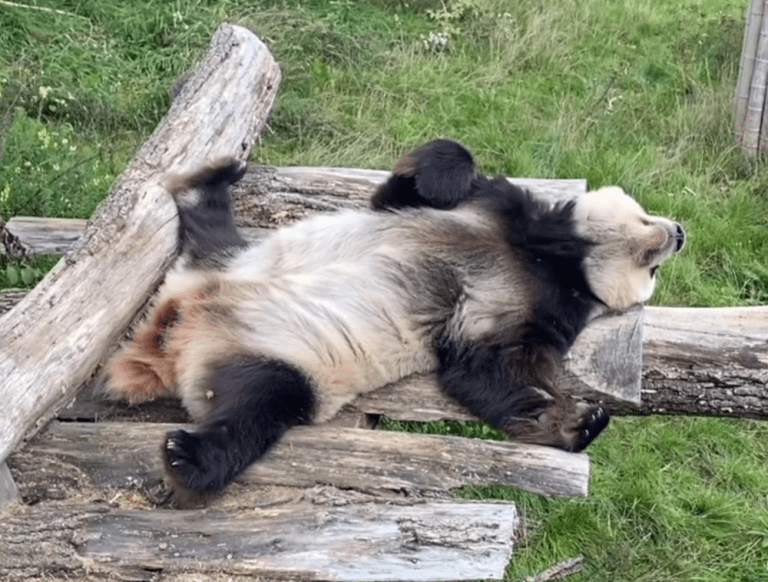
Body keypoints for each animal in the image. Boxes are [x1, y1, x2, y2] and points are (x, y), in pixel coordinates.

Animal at [103, 139, 685, 504]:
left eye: (652, 269)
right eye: (644, 218)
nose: (678, 233)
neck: (562, 255)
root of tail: (174, 330)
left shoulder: (537, 310)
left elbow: (485, 367)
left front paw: (577, 420)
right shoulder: (497, 208)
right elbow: (405, 190)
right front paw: (447, 172)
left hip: (275, 351)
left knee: (260, 403)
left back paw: (189, 458)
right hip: (235, 263)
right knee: (212, 226)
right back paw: (216, 177)